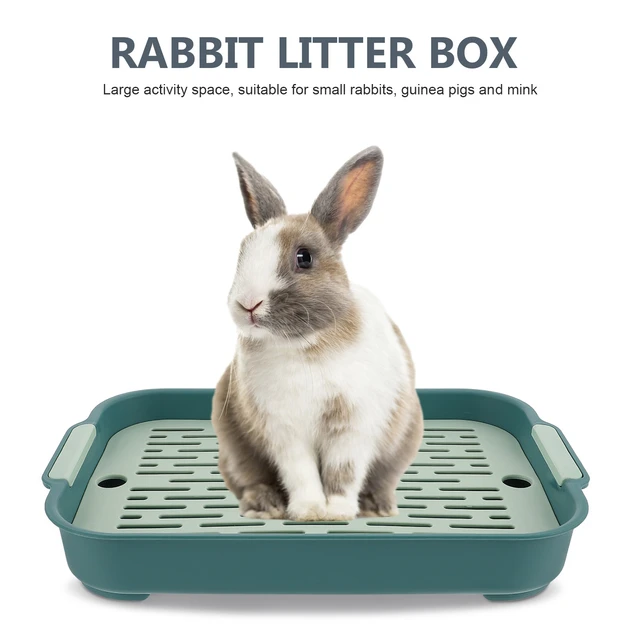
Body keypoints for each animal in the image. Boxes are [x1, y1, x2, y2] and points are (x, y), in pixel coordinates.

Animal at [212, 146, 423, 522]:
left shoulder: (353, 426)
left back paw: (377, 507)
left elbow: (343, 472)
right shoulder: (284, 431)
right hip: (233, 448)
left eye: (304, 257)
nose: (247, 304)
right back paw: (265, 506)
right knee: (249, 480)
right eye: (242, 252)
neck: (304, 345)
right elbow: (301, 472)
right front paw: (309, 511)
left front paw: (337, 512)